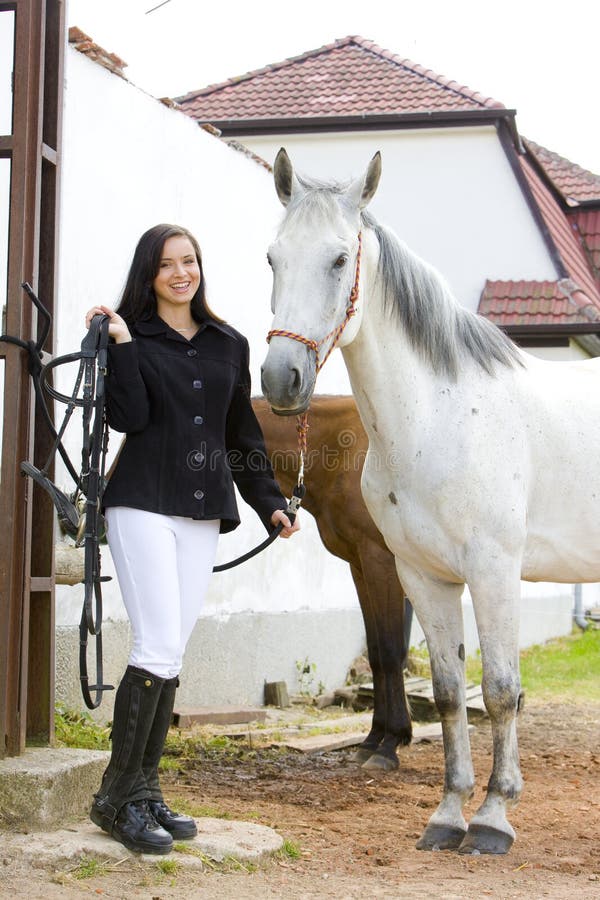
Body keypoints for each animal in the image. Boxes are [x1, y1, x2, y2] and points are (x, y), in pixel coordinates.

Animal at [252, 395, 413, 771]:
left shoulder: (383, 562)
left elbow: (391, 650)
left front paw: (391, 743)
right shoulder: (360, 566)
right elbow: (375, 652)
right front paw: (373, 739)